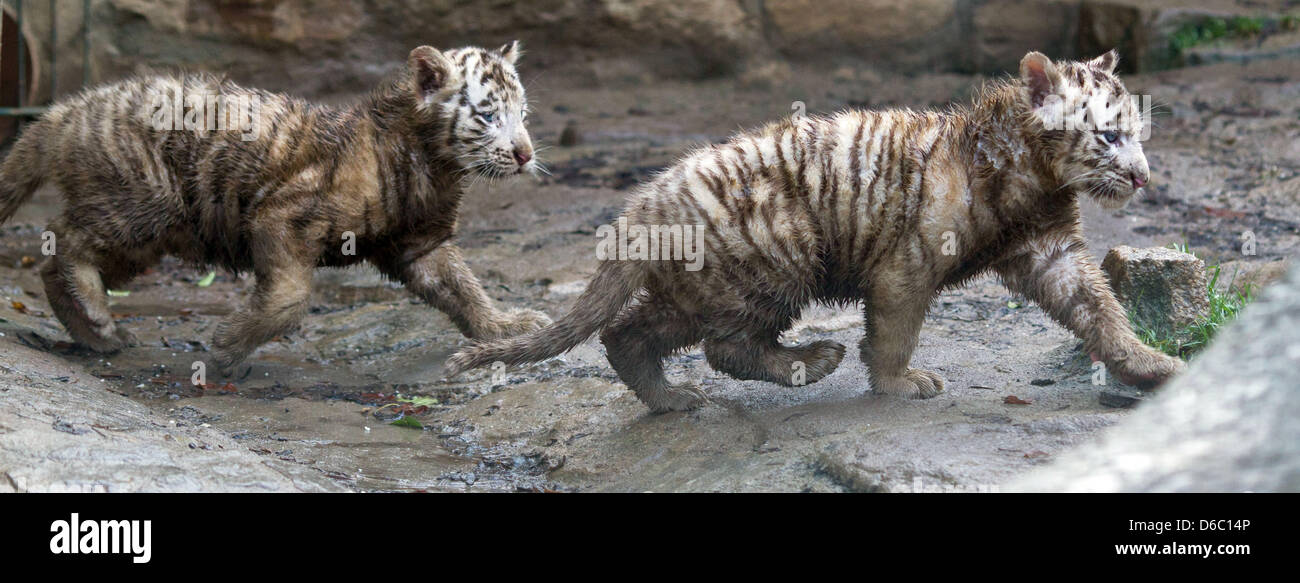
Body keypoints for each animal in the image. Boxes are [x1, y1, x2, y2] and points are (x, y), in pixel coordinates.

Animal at [0, 42, 551, 373]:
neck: (434, 167)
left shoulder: (421, 243)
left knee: (55, 258)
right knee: (63, 238)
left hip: (142, 237)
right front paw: (228, 346)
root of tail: (67, 111)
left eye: (523, 114)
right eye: (488, 116)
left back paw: (96, 335)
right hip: (143, 204)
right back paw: (97, 318)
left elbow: (464, 289)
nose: (525, 153)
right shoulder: (284, 215)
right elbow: (289, 298)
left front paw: (506, 329)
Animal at [445, 50, 1185, 413]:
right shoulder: (906, 262)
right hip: (773, 261)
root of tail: (644, 204)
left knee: (630, 332)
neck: (1029, 172)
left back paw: (671, 400)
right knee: (723, 347)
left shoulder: (1049, 248)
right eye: (1110, 136)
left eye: (1137, 133)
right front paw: (899, 383)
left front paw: (1151, 365)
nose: (1143, 177)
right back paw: (811, 361)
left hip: (706, 282)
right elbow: (894, 331)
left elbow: (1099, 309)